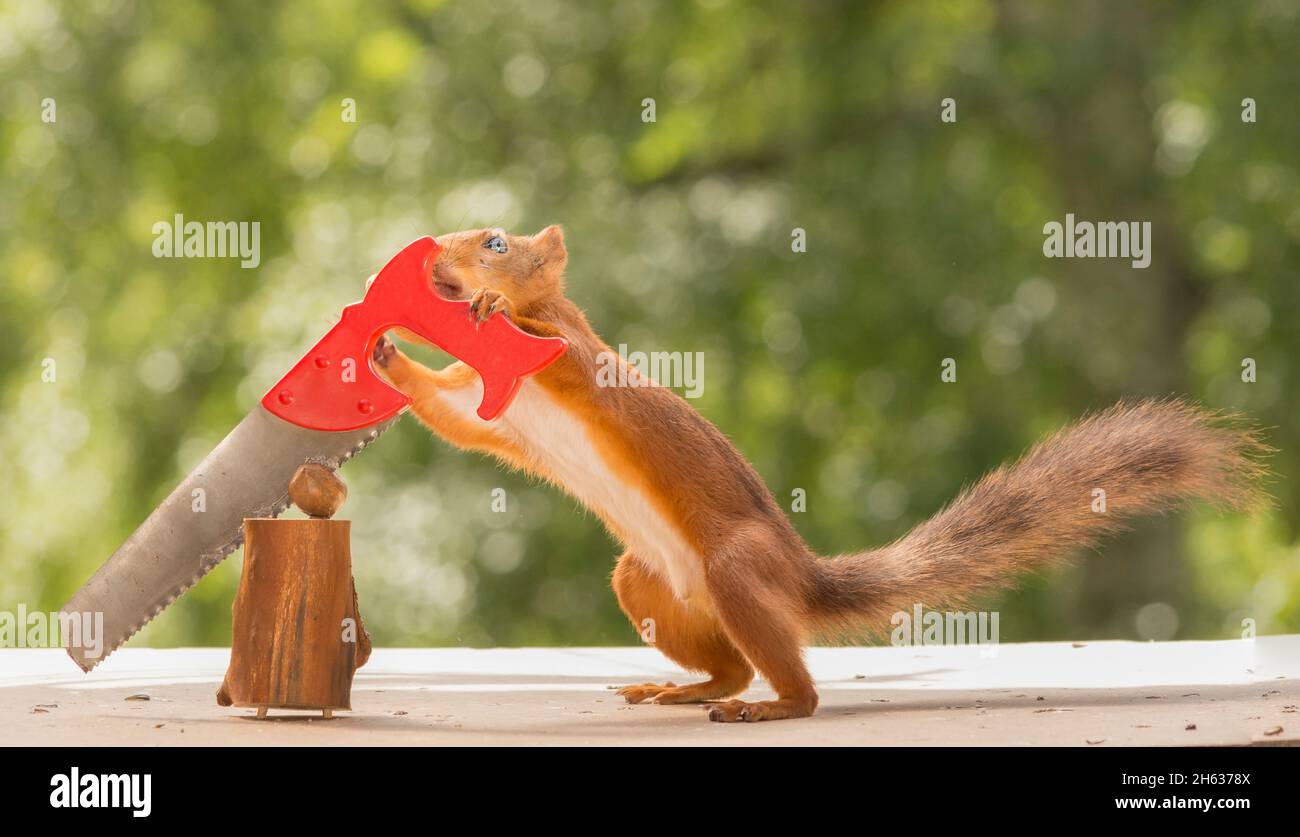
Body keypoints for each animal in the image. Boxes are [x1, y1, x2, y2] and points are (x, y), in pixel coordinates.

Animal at [372, 225, 1268, 723]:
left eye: (496, 241)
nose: (433, 260)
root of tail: (800, 578)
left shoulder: (577, 350)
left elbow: (553, 345)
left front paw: (490, 310)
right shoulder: (488, 411)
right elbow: (450, 413)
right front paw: (384, 354)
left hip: (738, 568)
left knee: (789, 678)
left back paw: (771, 703)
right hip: (648, 583)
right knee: (728, 660)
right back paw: (685, 691)